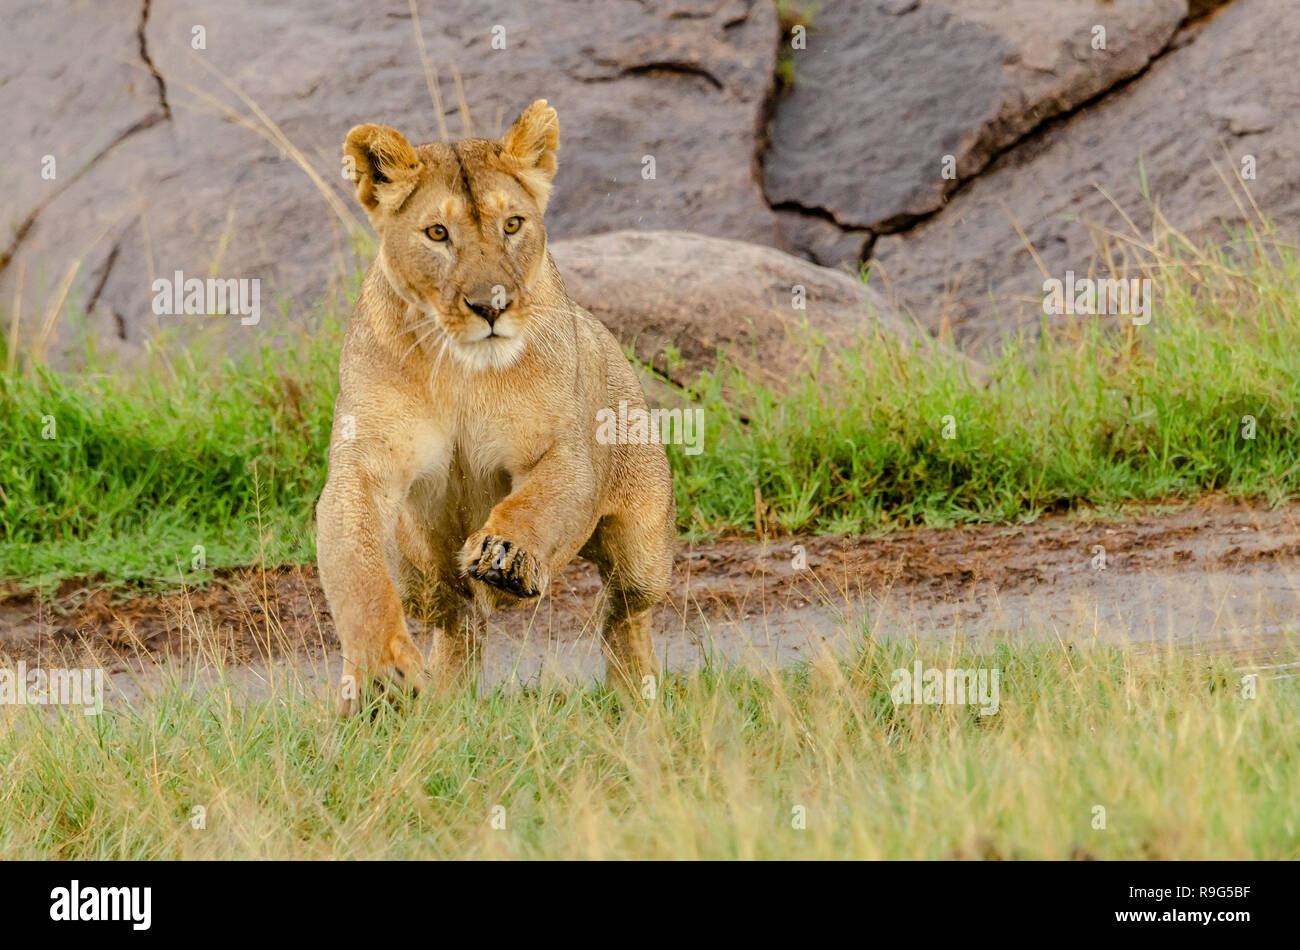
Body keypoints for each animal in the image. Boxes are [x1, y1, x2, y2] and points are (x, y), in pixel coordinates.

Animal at [316, 99, 677, 715]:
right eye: (437, 233)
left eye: (513, 225)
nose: (492, 306)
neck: (462, 370)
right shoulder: (364, 465)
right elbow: (356, 572)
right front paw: (383, 670)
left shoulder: (565, 453)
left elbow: (535, 502)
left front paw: (506, 554)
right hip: (418, 568)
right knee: (456, 619)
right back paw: (442, 700)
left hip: (643, 544)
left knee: (623, 612)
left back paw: (637, 691)